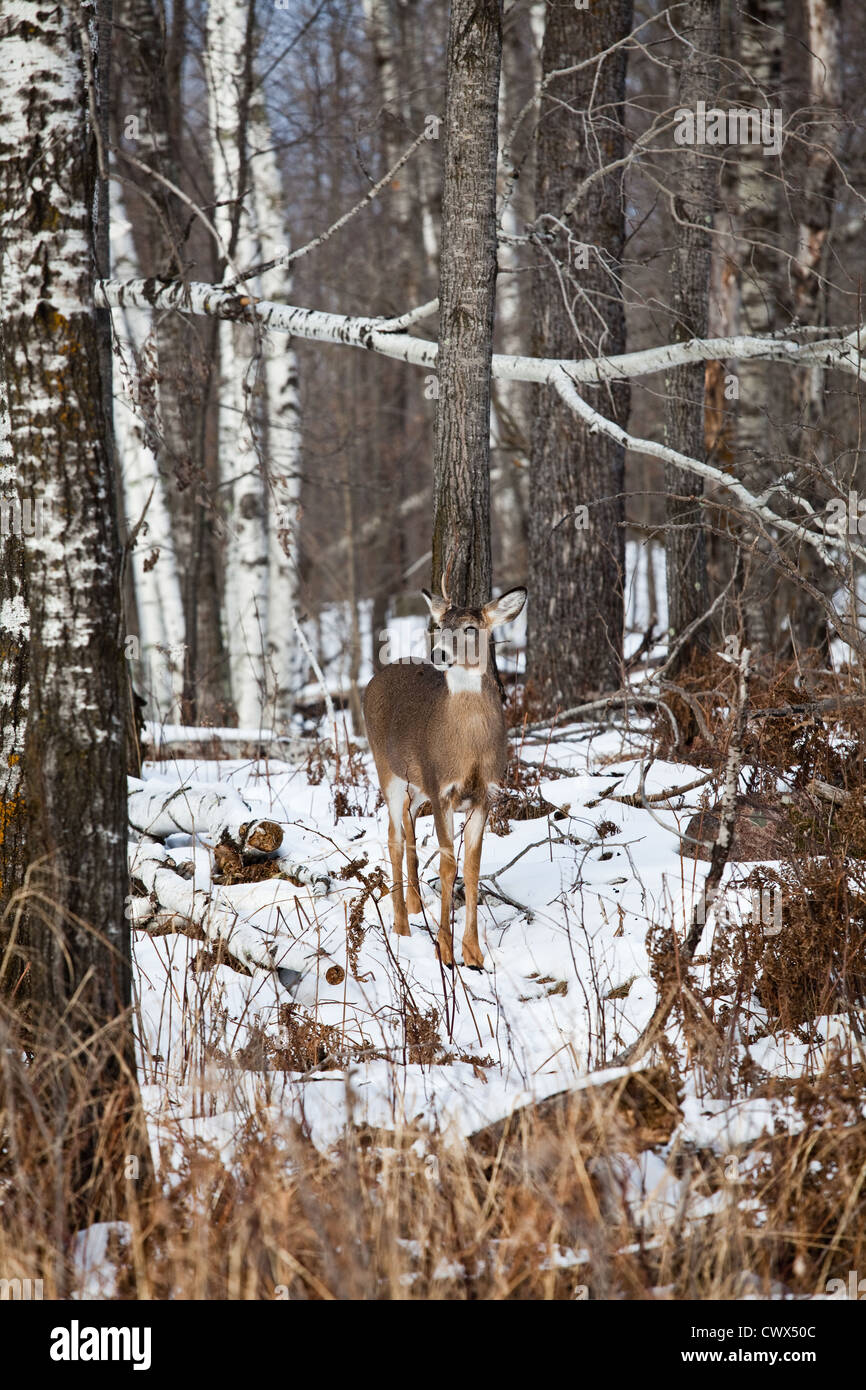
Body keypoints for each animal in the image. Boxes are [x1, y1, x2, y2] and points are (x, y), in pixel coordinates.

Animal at [363, 581, 527, 969]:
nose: (438, 653)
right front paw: (446, 951)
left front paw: (474, 953)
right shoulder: (443, 791)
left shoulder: (484, 794)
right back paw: (402, 925)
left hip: (417, 785)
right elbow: (448, 865)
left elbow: (472, 866)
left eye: (469, 628)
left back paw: (413, 905)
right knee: (393, 838)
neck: (469, 749)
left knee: (407, 831)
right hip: (387, 771)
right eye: (439, 626)